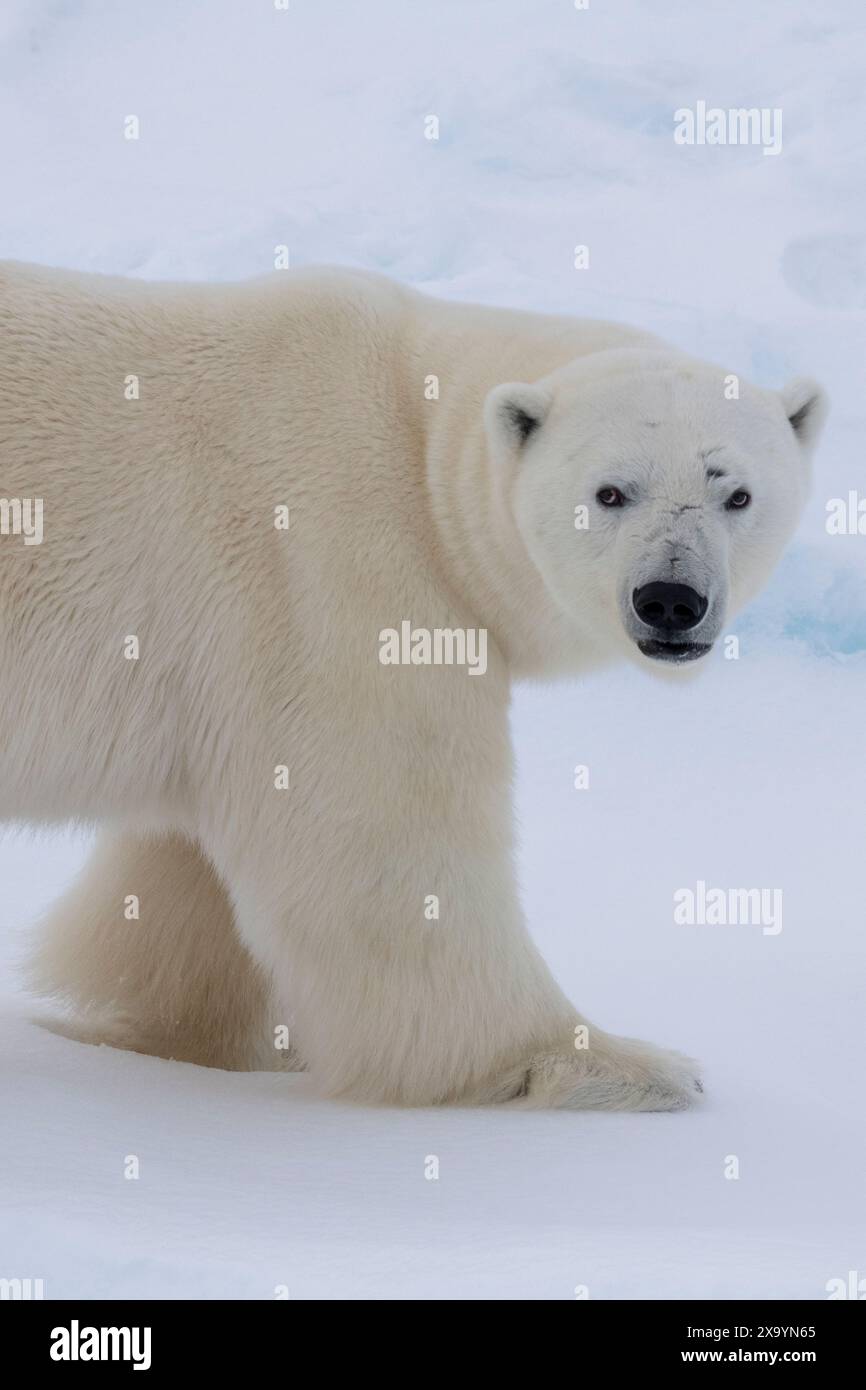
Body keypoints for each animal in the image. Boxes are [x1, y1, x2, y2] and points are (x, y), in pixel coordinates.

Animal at [0, 261, 826, 1109]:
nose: (670, 599)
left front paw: (188, 1037)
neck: (418, 435)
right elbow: (383, 841)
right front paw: (611, 1065)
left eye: (737, 494)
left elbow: (190, 869)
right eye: (610, 492)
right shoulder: (333, 574)